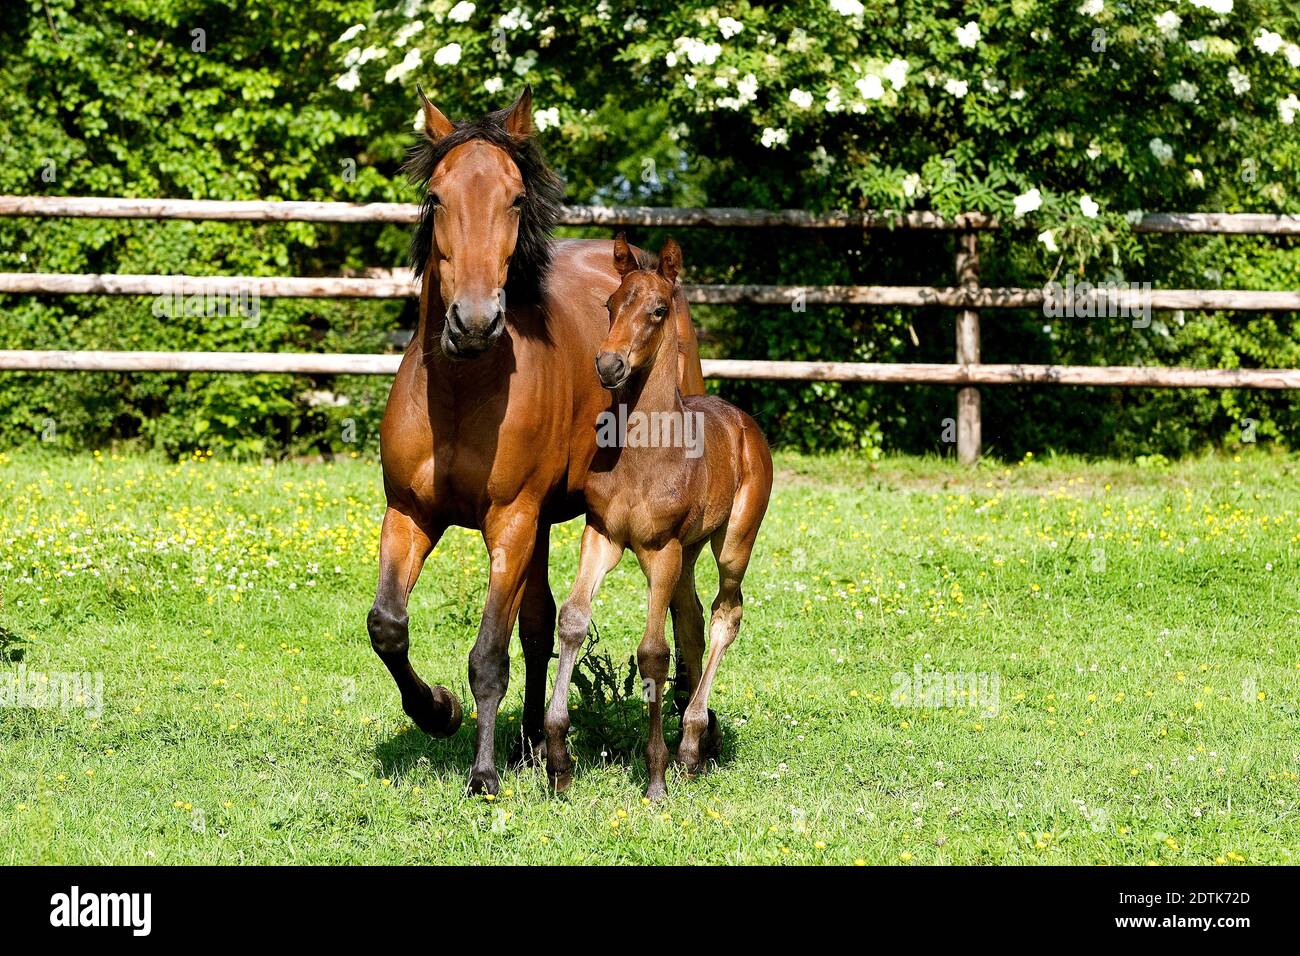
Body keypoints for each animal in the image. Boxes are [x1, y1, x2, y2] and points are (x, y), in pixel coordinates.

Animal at [366, 88, 707, 795]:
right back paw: (530, 739)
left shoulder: (512, 520)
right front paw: (437, 711)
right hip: (543, 523)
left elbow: (487, 651)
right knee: (542, 622)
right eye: (436, 196)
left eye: (517, 199)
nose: (473, 322)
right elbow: (388, 626)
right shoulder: (408, 514)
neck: (462, 390)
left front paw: (483, 773)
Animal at [543, 236, 773, 800]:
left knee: (724, 614)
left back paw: (688, 743)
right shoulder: (601, 535)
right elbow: (573, 621)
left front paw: (655, 776)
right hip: (688, 553)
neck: (644, 454)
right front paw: (559, 760)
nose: (609, 365)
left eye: (659, 310)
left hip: (731, 544)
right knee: (691, 619)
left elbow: (652, 652)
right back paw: (693, 745)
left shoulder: (659, 548)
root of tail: (744, 421)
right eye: (609, 305)